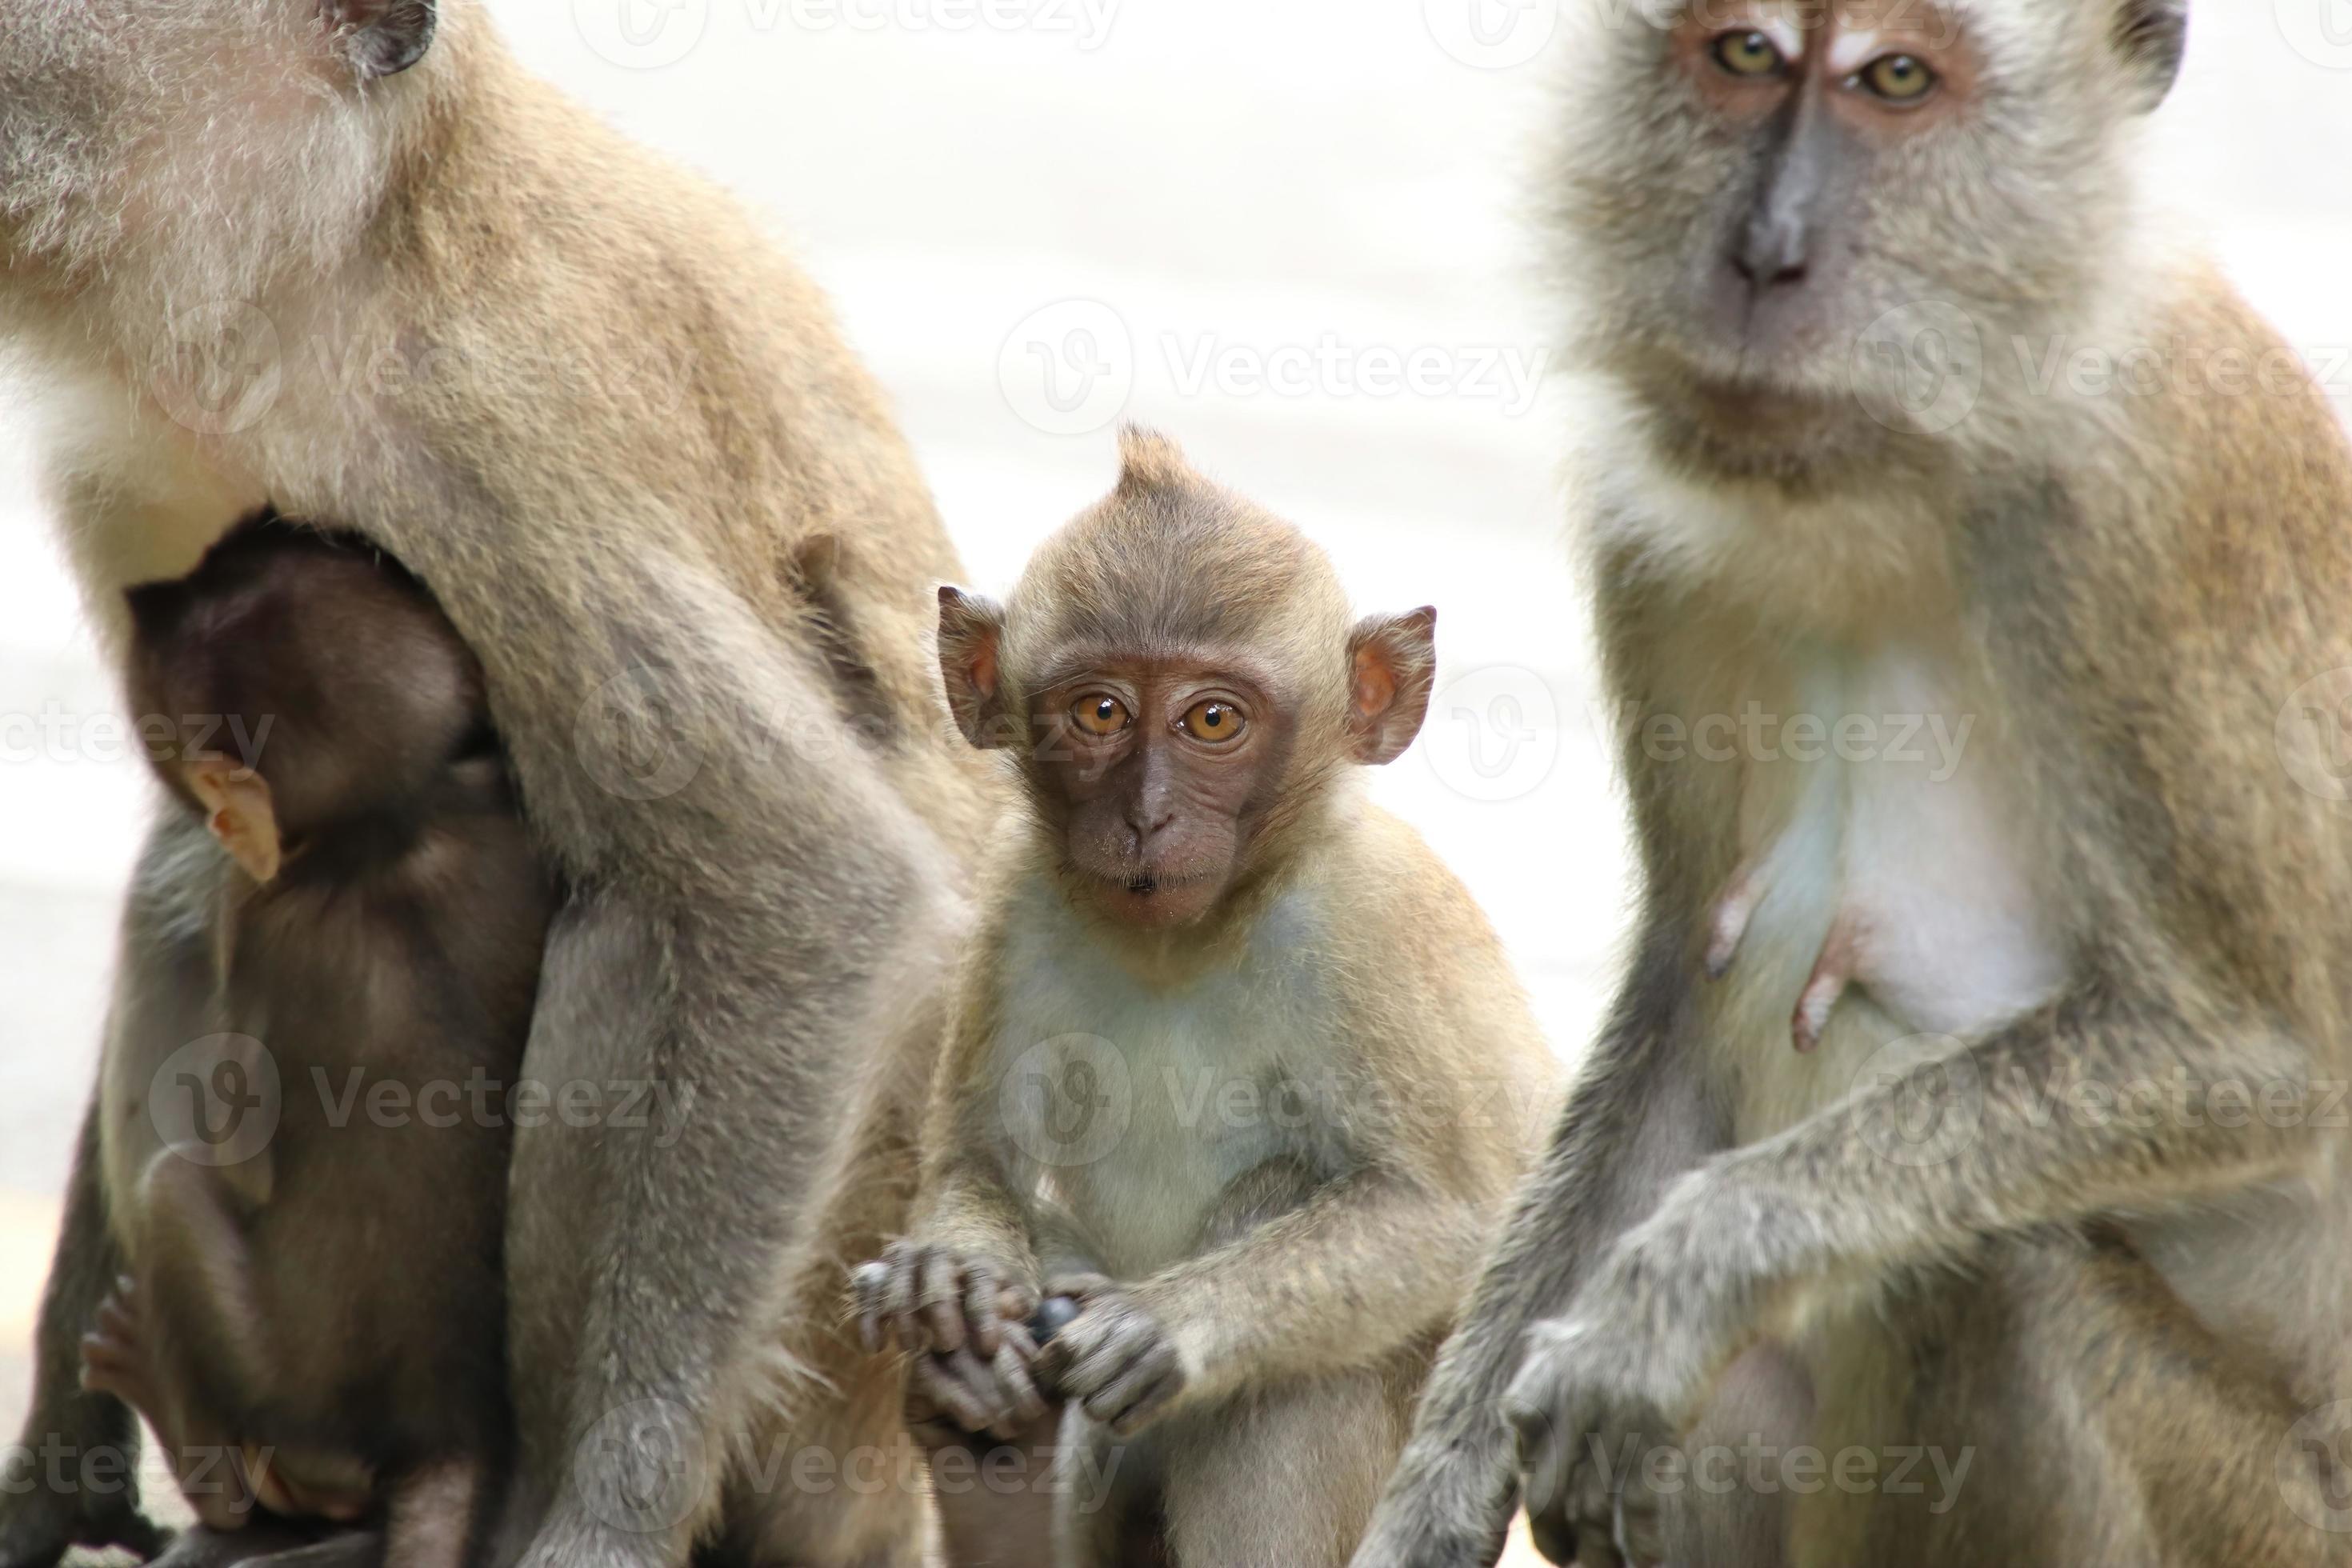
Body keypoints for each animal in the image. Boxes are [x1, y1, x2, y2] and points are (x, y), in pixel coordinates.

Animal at [84, 515, 551, 1568]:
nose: (219, 826)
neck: (398, 825)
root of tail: (444, 1432)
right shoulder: (505, 821)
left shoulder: (264, 920)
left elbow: (235, 1138)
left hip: (290, 1406)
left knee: (171, 1190)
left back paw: (195, 1449)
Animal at [850, 429, 1565, 1568]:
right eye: (1099, 711)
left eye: (1213, 720)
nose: (1146, 815)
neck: (1181, 941)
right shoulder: (1014, 893)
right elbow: (972, 1156)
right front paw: (947, 1281)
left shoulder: (1370, 920)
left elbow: (1453, 1214)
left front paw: (1168, 1329)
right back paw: (995, 1455)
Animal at [1347, 2, 2352, 1566]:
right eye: (1746, 55)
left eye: (1897, 78)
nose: (1765, 254)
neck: (1898, 474)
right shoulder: (1651, 518)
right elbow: (1683, 994)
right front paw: (1434, 1502)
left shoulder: (2140, 515)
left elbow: (2265, 1058)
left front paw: (1689, 1274)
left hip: (2267, 1518)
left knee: (1978, 1278)